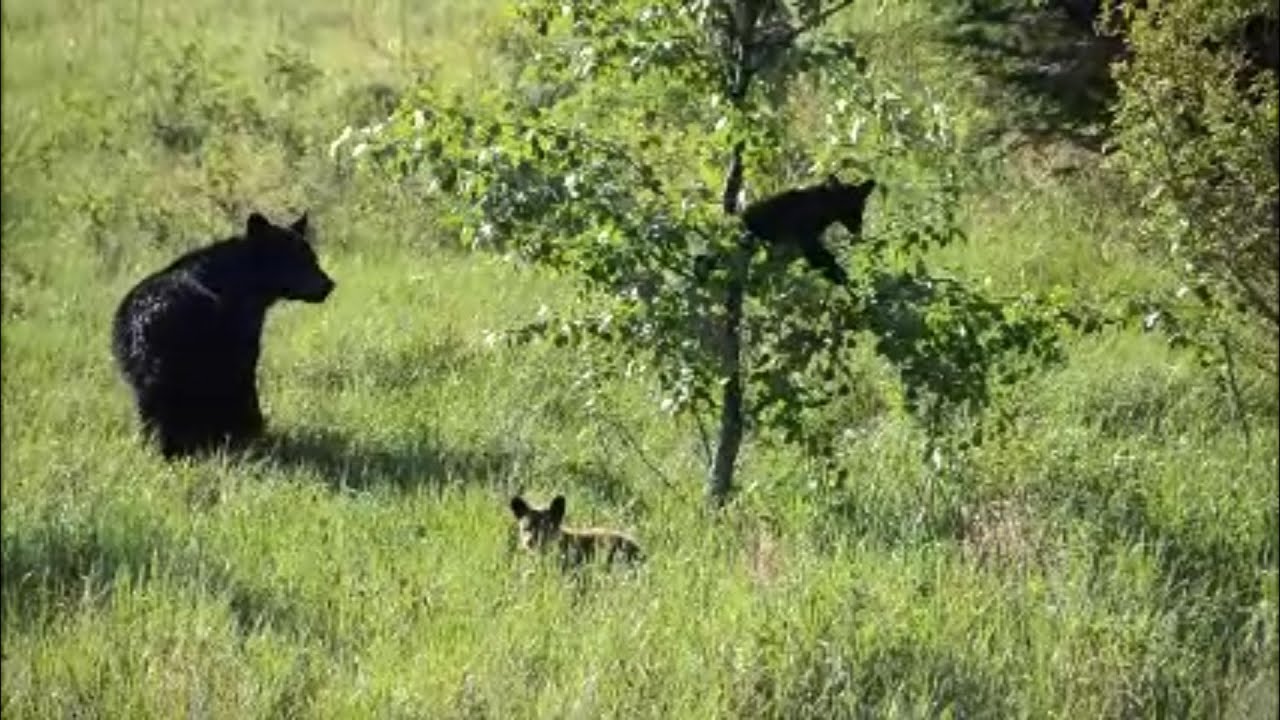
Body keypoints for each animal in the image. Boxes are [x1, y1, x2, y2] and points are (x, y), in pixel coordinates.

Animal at [111, 211, 335, 459]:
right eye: (295, 259)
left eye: (312, 257)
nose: (328, 284)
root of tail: (150, 319)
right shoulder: (242, 339)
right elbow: (244, 385)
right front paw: (253, 431)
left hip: (142, 368)